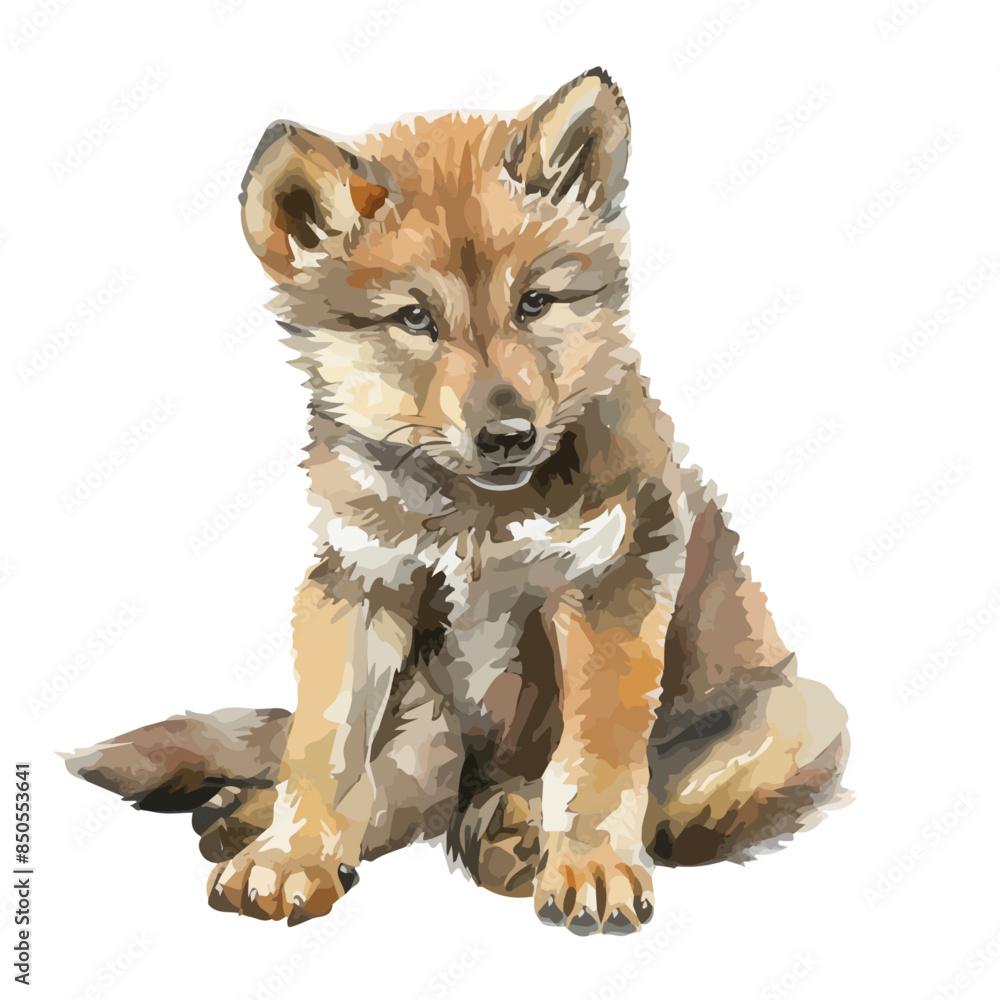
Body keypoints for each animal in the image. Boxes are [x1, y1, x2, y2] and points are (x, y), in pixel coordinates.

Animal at [65, 68, 849, 936]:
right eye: (416, 318)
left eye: (535, 303)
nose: (508, 435)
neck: (477, 517)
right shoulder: (358, 584)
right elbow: (324, 748)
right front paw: (291, 858)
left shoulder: (612, 580)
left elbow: (598, 761)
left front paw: (590, 868)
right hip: (430, 717)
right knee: (403, 795)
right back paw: (261, 821)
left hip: (797, 720)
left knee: (648, 805)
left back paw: (513, 833)